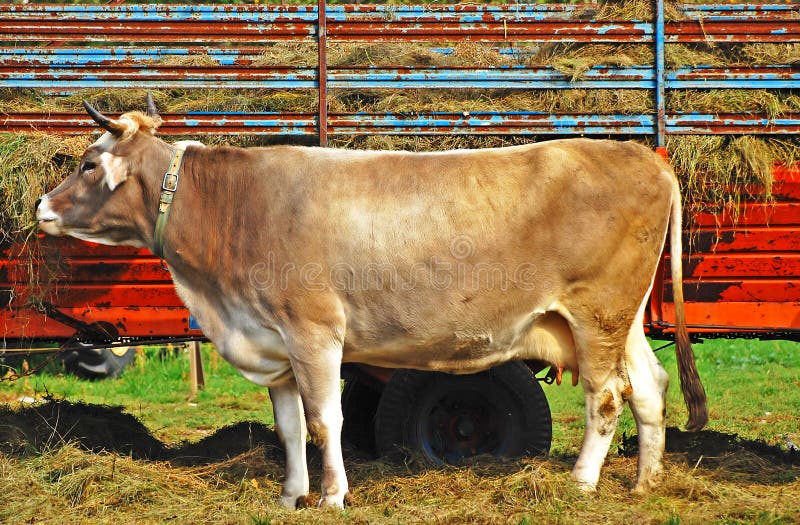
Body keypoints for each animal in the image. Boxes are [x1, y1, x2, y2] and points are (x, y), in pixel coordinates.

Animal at [36, 96, 707, 509]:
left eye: (89, 163)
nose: (41, 206)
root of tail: (640, 154)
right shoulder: (274, 344)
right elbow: (288, 427)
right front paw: (291, 494)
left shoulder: (314, 332)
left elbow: (324, 420)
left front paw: (333, 495)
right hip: (623, 319)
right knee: (650, 385)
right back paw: (646, 482)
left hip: (596, 313)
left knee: (607, 395)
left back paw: (582, 482)